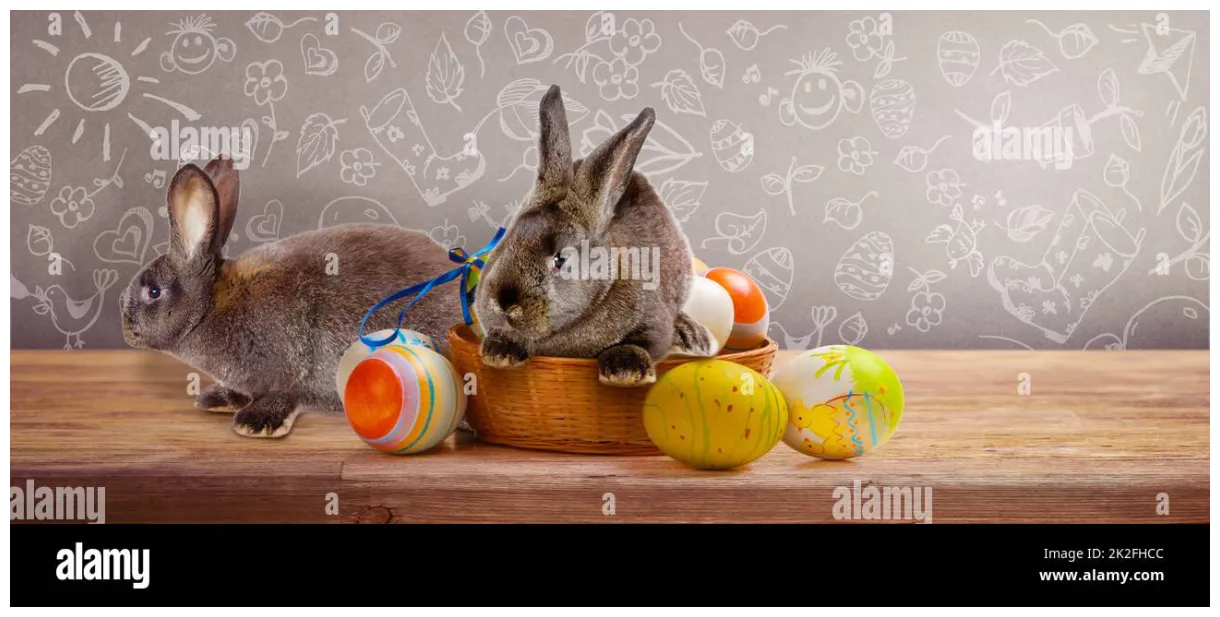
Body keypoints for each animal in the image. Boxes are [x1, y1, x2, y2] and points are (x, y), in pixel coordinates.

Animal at [119, 155, 461, 438]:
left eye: (153, 291)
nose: (126, 326)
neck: (212, 305)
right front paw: (220, 399)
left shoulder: (291, 364)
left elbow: (287, 393)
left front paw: (255, 423)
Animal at [473, 85, 715, 388]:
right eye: (506, 243)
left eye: (561, 259)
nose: (504, 304)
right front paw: (498, 353)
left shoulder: (654, 323)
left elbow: (642, 344)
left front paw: (625, 373)